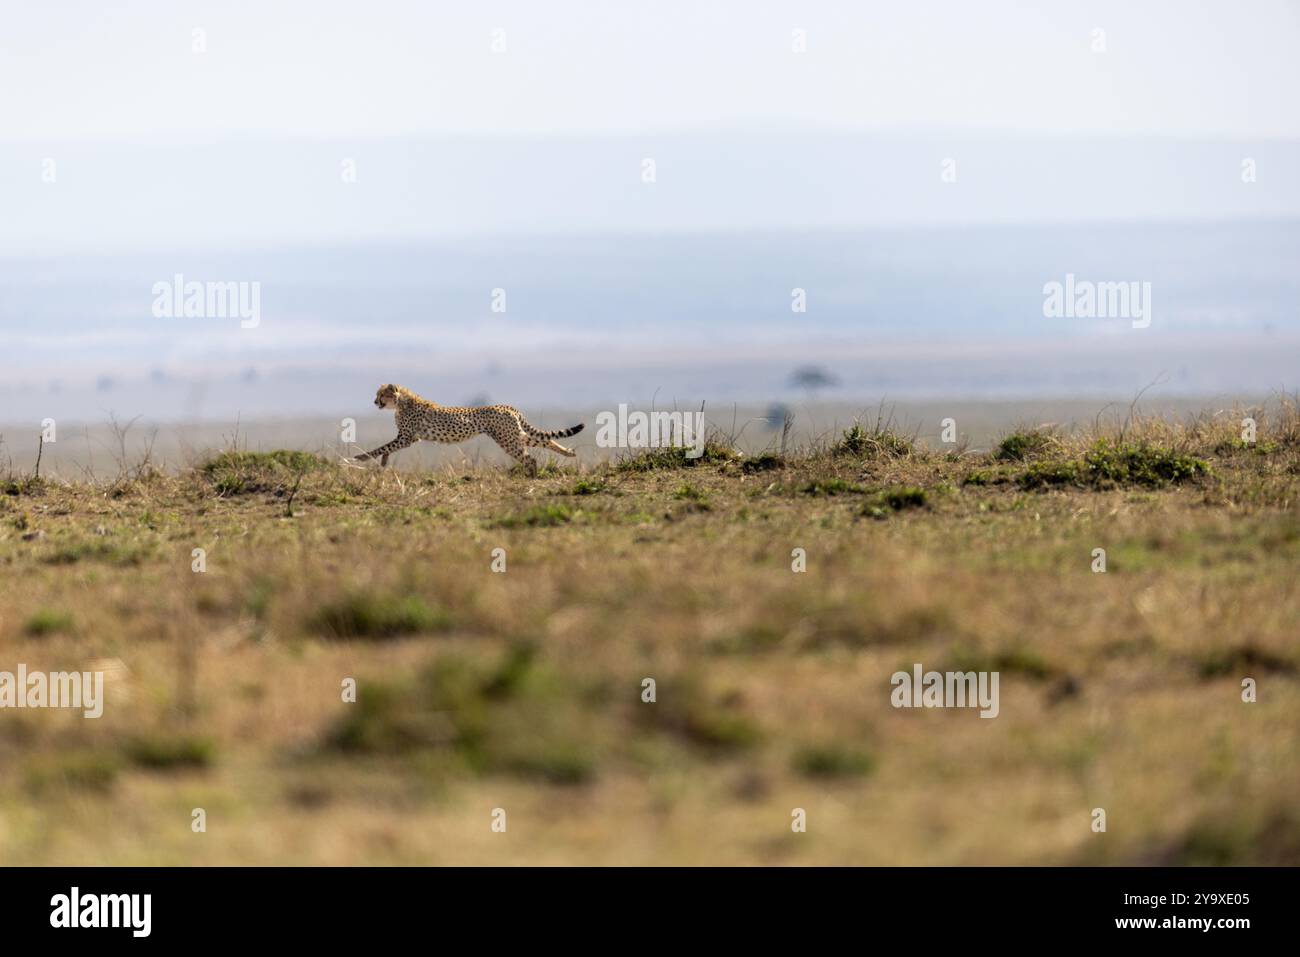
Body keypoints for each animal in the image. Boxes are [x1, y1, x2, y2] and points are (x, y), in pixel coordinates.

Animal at [355, 384, 583, 475]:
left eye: (381, 395)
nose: (375, 402)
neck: (401, 402)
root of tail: (508, 406)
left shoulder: (407, 438)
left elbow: (383, 446)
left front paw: (362, 457)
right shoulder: (408, 439)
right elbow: (387, 448)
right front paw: (382, 462)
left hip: (508, 440)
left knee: (531, 458)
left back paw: (532, 476)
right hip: (516, 435)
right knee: (546, 440)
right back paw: (569, 453)